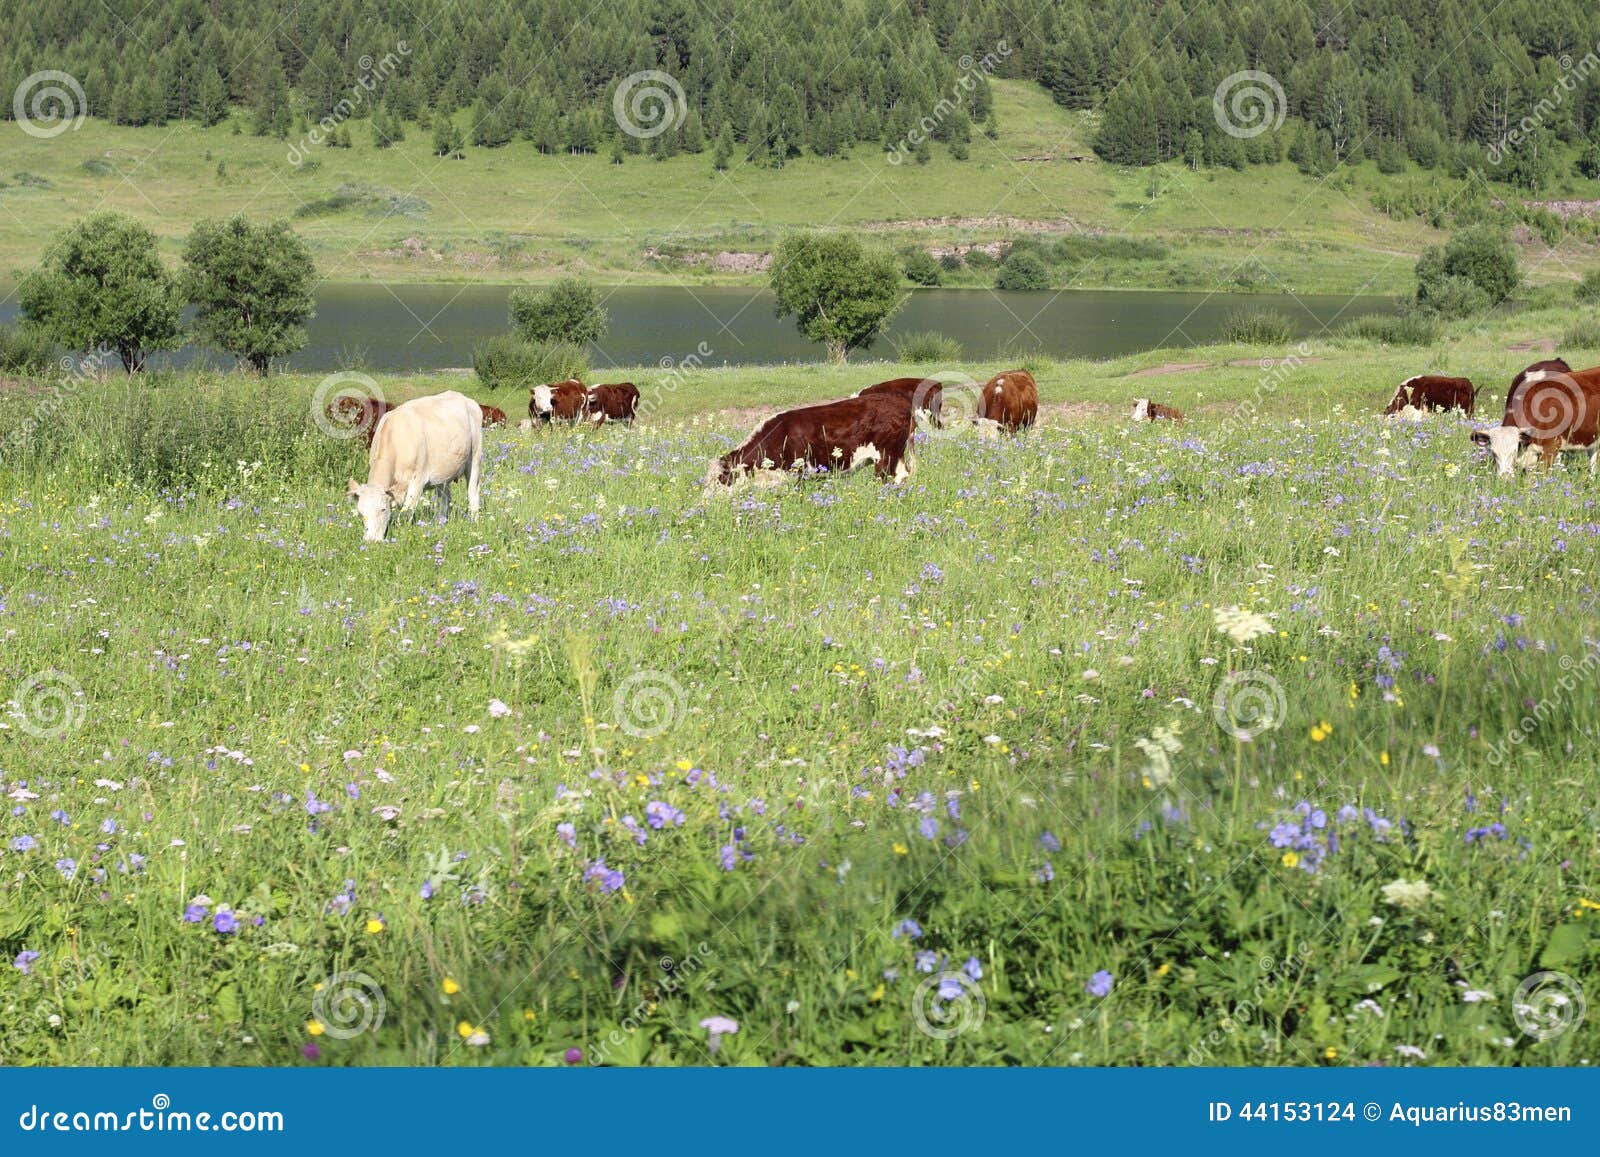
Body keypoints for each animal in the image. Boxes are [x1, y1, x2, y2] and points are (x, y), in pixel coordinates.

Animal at [346, 391, 483, 542]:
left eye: (383, 509)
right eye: (360, 512)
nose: (371, 540)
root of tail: (463, 397)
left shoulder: (418, 480)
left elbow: (405, 514)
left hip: (475, 458)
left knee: (472, 492)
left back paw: (474, 522)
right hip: (443, 473)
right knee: (445, 497)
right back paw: (439, 522)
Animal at [707, 392, 916, 487]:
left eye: (721, 479)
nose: (705, 504)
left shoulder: (798, 473)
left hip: (885, 457)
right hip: (895, 455)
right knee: (902, 476)